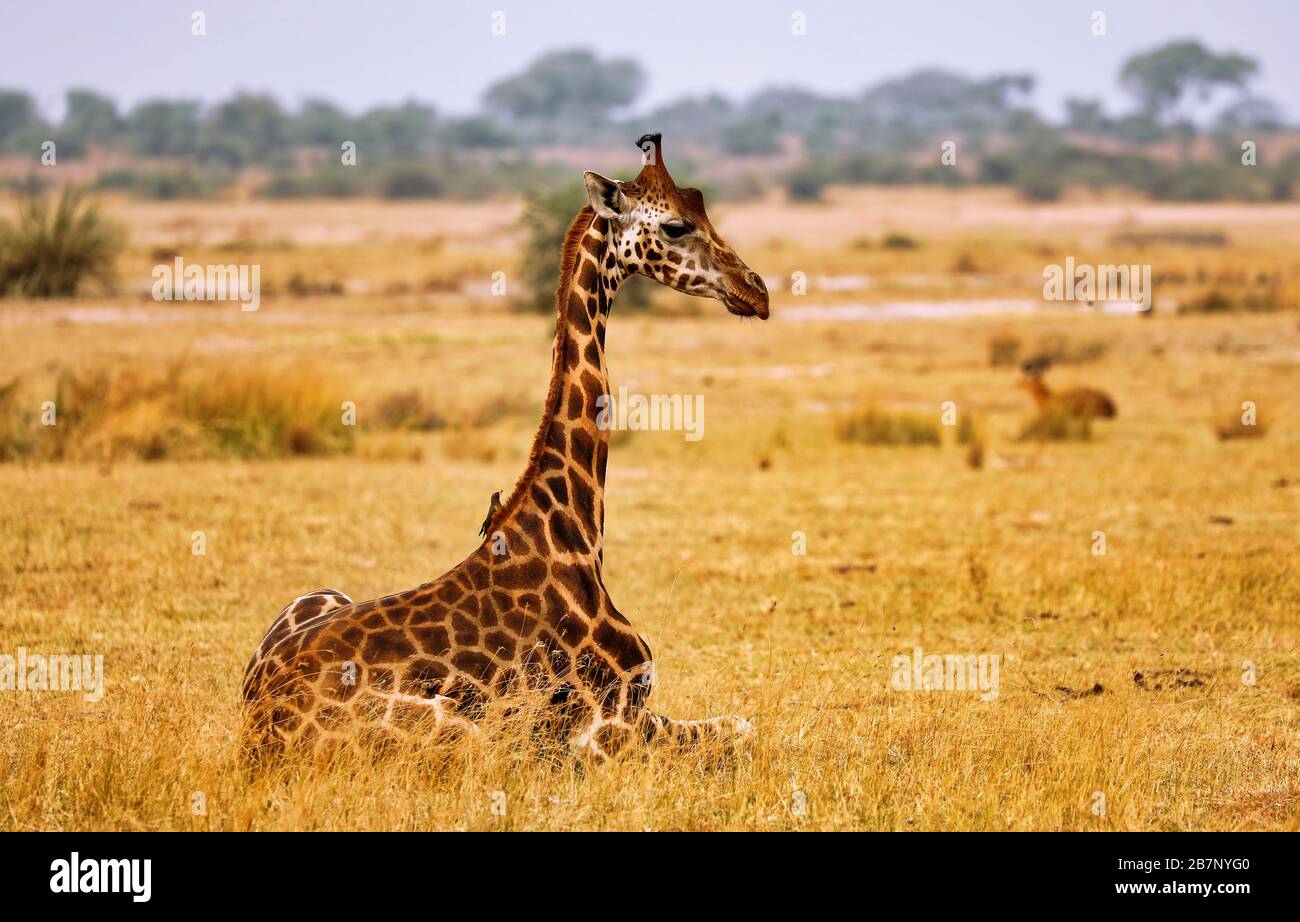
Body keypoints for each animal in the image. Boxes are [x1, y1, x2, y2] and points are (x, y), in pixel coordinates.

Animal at [242, 134, 770, 763]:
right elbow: (744, 728)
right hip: (459, 732)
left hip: (319, 594)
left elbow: (743, 724)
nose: (756, 291)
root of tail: (257, 725)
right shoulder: (609, 729)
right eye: (674, 226)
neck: (575, 533)